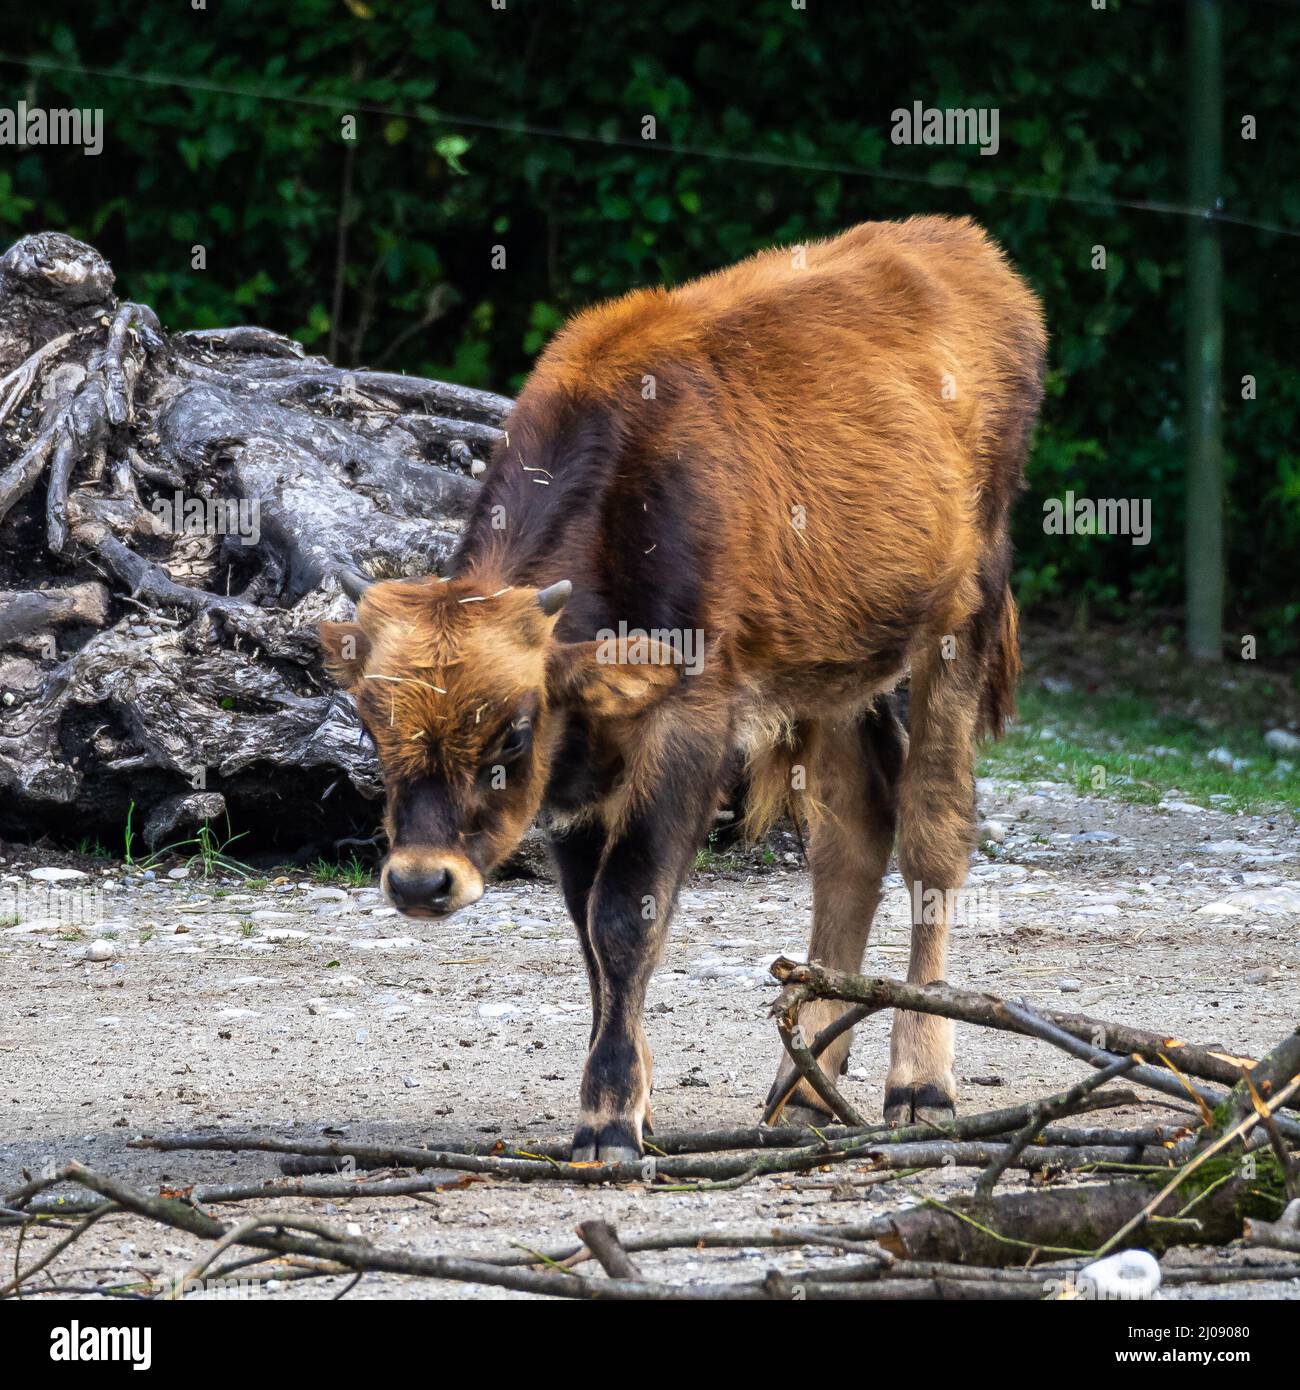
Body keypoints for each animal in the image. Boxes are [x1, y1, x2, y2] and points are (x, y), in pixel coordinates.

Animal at [319, 216, 1046, 1162]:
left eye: (513, 730)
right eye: (373, 724)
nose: (419, 883)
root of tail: (970, 254)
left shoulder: (690, 726)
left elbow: (626, 914)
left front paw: (608, 1122)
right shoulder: (589, 776)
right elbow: (591, 929)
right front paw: (632, 1100)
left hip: (958, 627)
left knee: (933, 832)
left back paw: (919, 1085)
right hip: (833, 672)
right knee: (853, 833)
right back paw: (805, 1090)